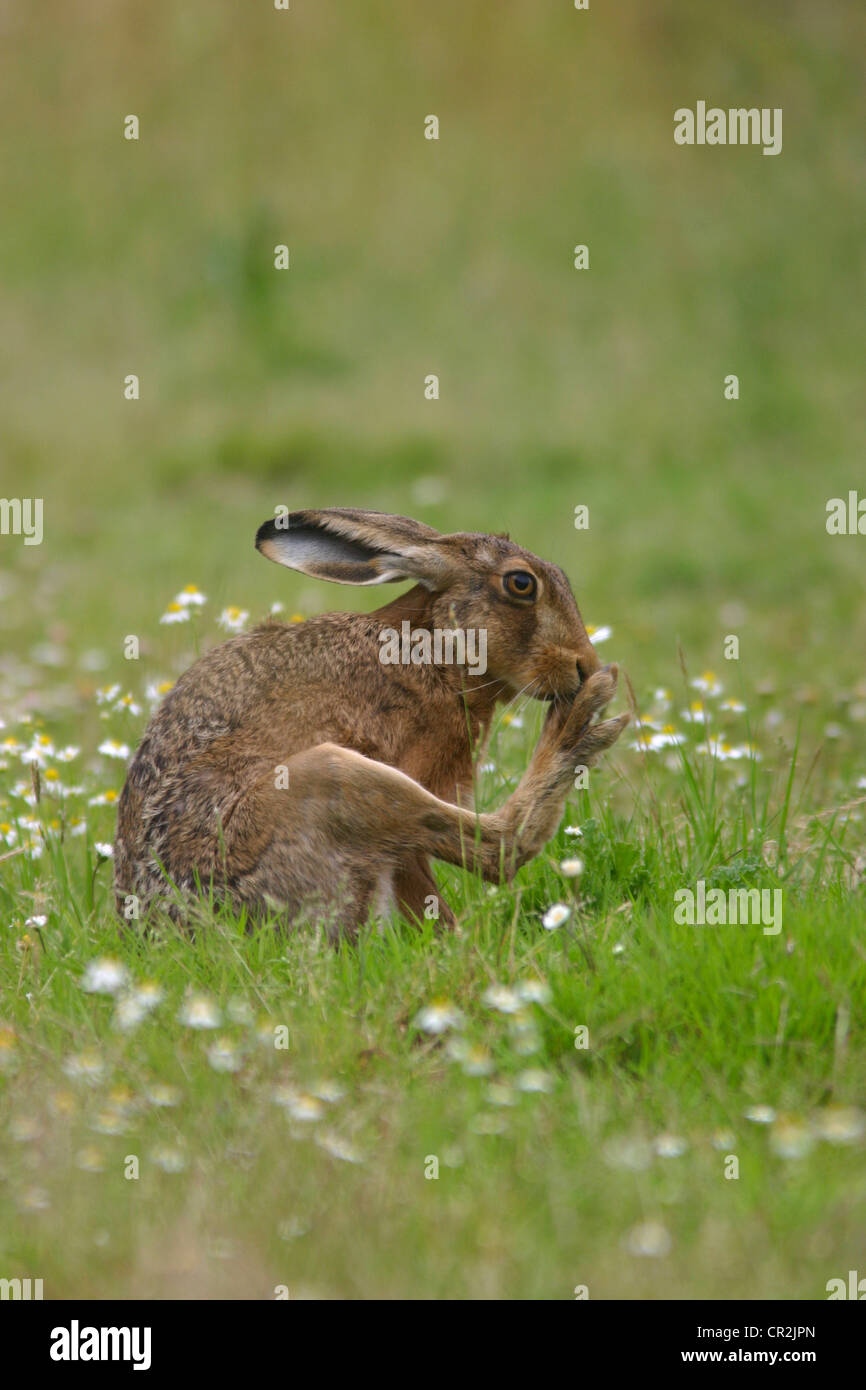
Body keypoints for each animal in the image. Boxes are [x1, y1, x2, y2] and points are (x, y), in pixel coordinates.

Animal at [113, 508, 629, 935]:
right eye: (522, 584)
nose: (584, 665)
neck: (438, 648)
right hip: (328, 779)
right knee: (503, 847)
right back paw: (580, 724)